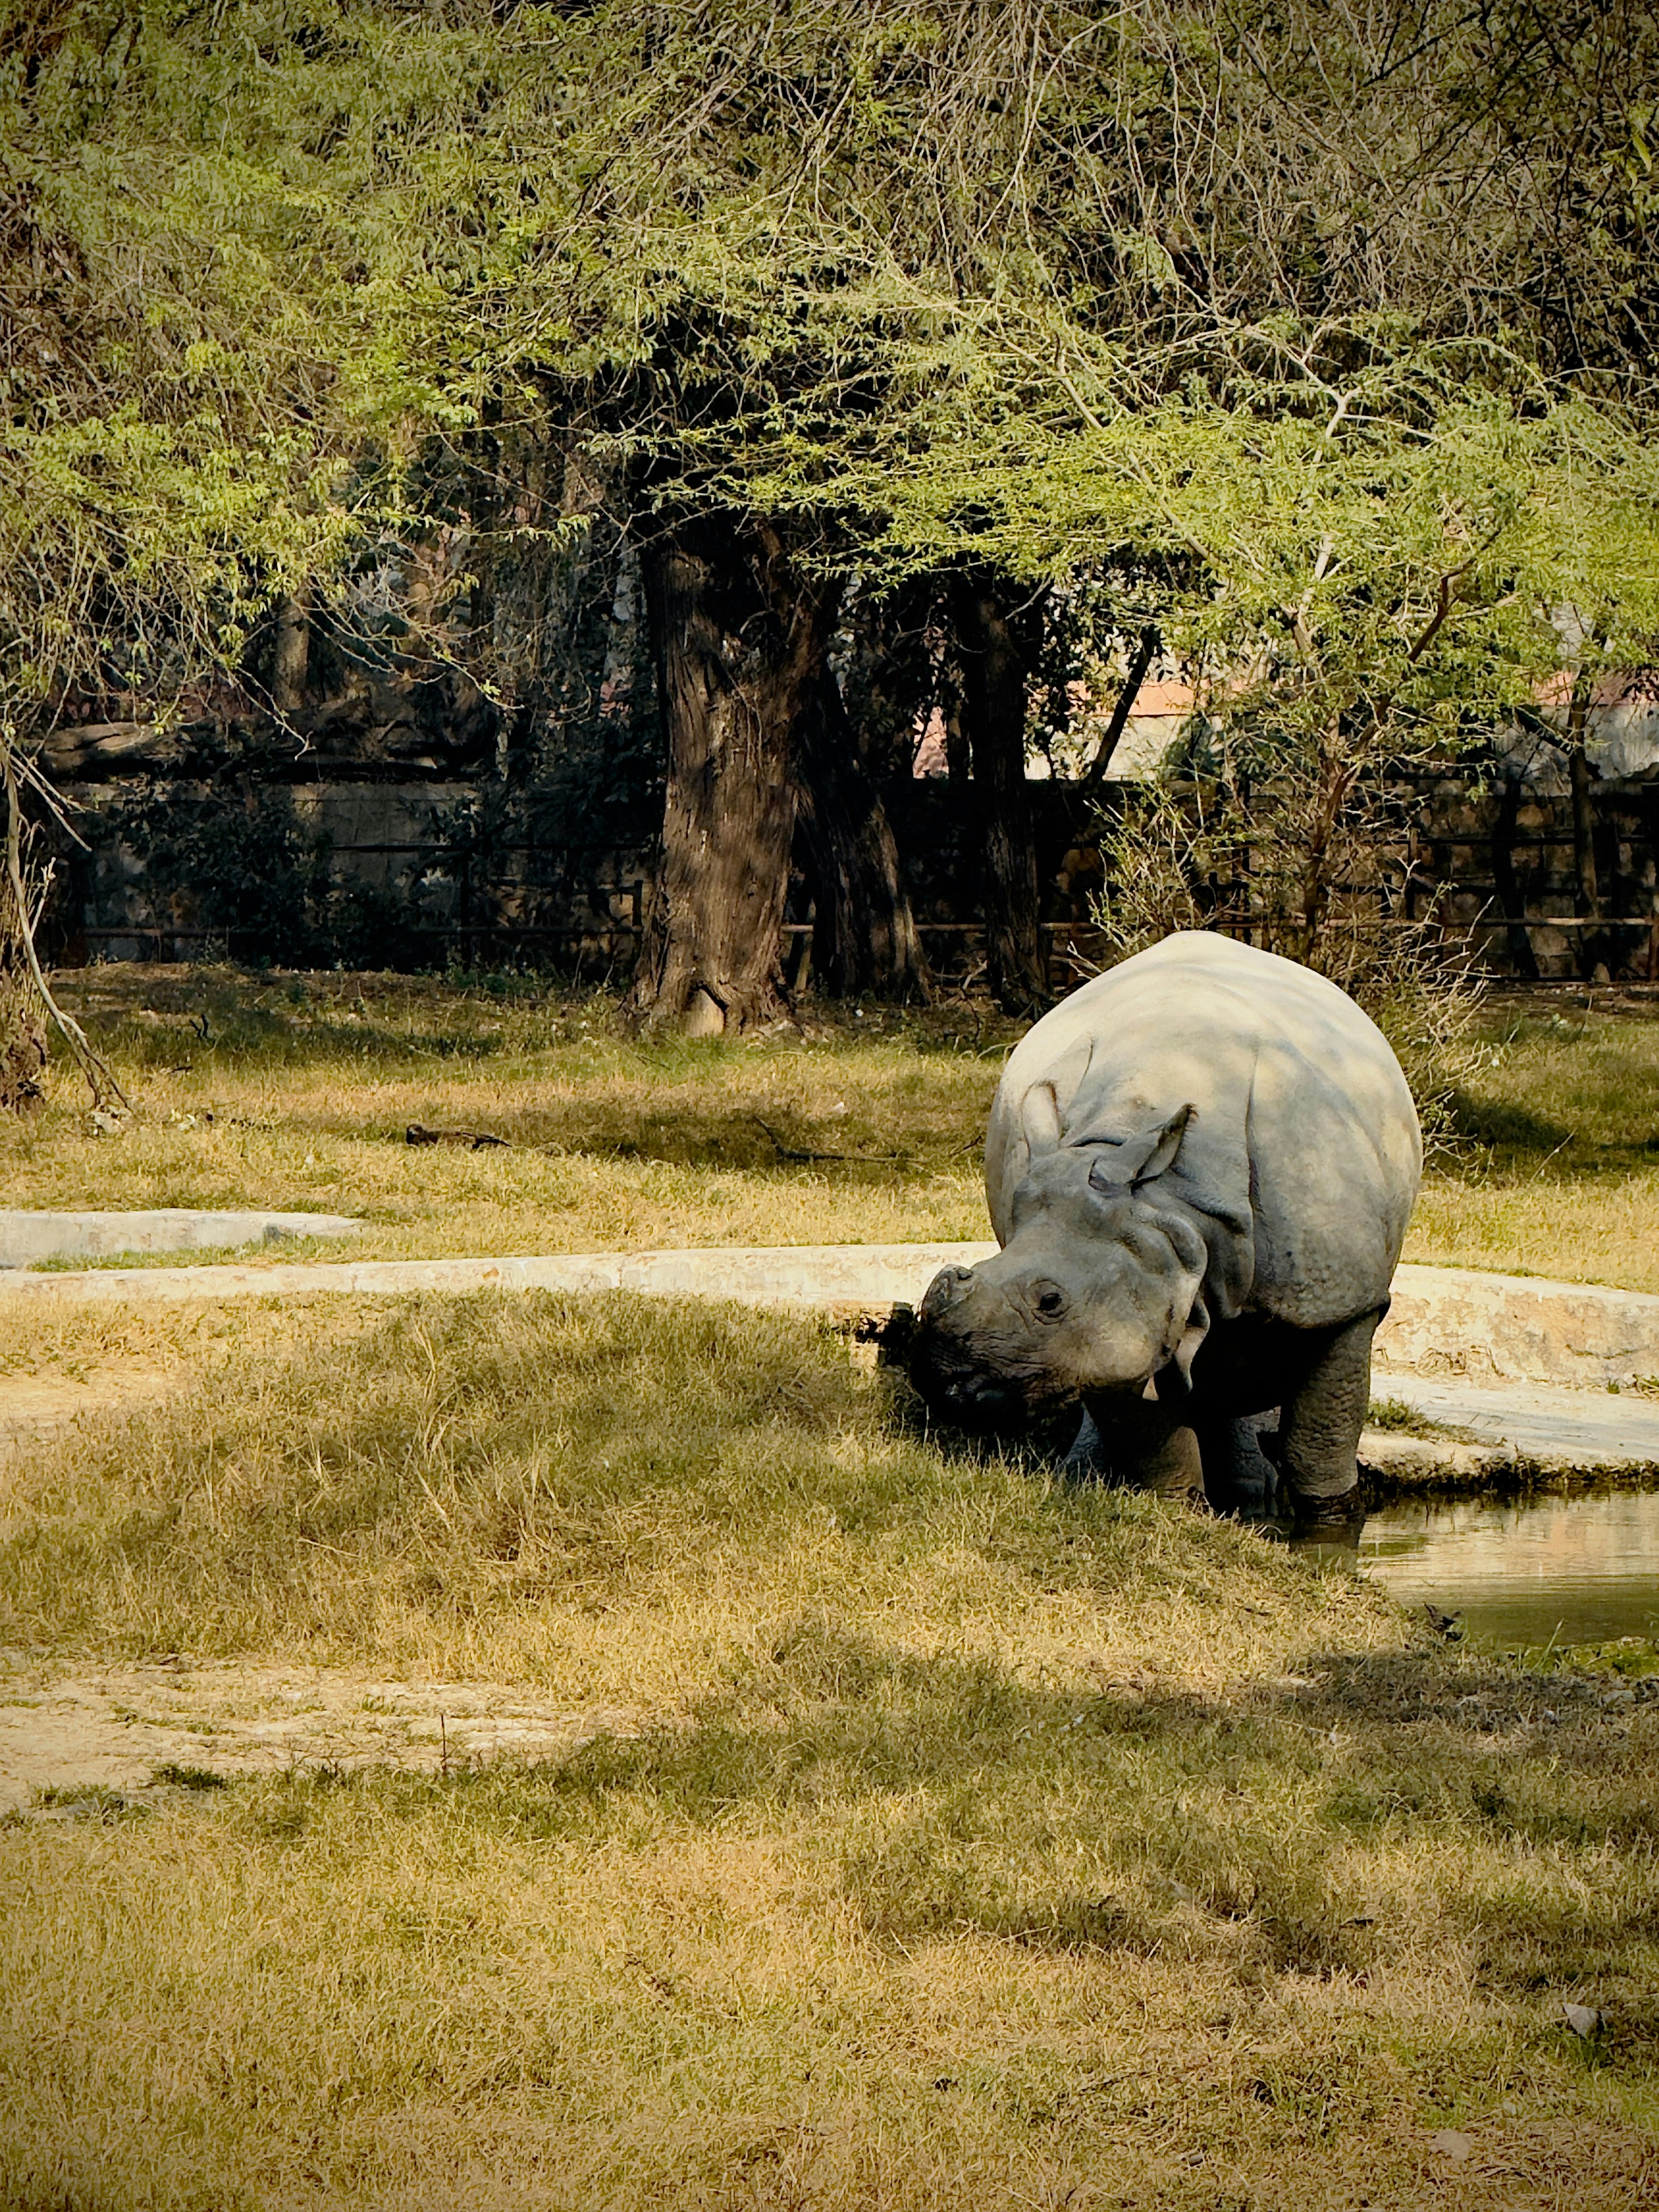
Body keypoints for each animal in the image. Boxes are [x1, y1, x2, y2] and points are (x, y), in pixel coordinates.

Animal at [910, 932, 1422, 1523]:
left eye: (1050, 1302)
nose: (939, 1377)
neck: (1174, 1206)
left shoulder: (1340, 1302)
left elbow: (1318, 1445)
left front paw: (1329, 1522)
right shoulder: (1124, 1306)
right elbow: (1156, 1440)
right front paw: (1178, 1514)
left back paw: (1251, 1492)